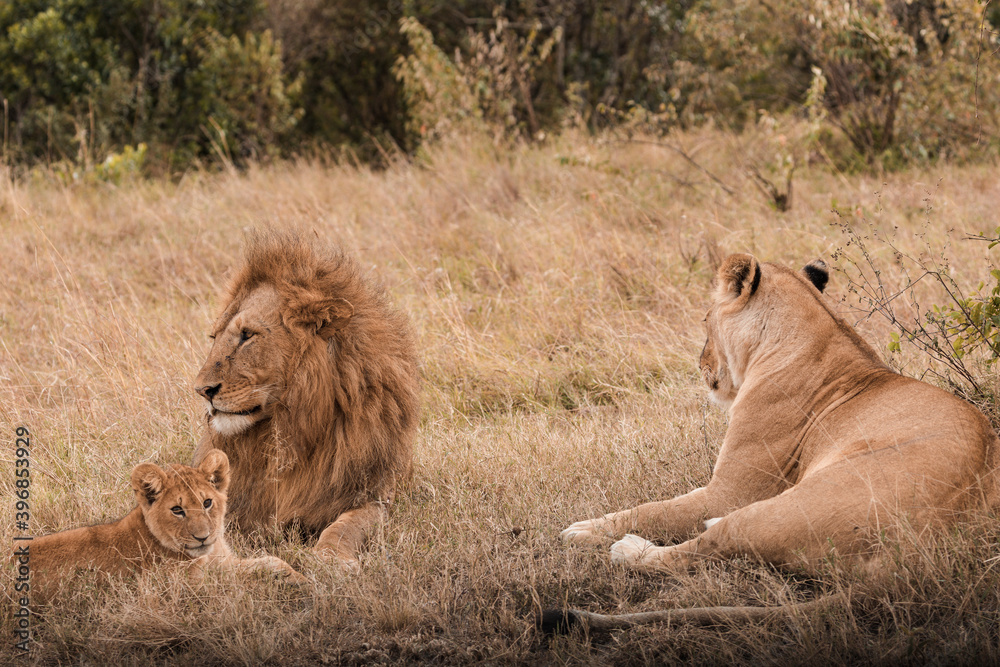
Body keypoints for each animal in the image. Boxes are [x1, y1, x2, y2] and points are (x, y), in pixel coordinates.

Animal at [19, 450, 304, 601]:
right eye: (177, 510)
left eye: (207, 502)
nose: (202, 537)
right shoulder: (184, 590)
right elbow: (239, 588)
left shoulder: (225, 563)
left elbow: (271, 560)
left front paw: (299, 577)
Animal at [192, 230, 419, 568]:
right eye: (213, 337)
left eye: (247, 335)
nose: (201, 390)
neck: (290, 428)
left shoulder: (373, 494)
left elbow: (346, 526)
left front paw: (331, 559)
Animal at [562, 253, 1000, 577]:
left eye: (705, 321)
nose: (700, 364)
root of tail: (923, 545)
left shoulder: (731, 492)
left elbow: (655, 510)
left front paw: (585, 527)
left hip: (781, 508)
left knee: (705, 547)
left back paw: (629, 550)